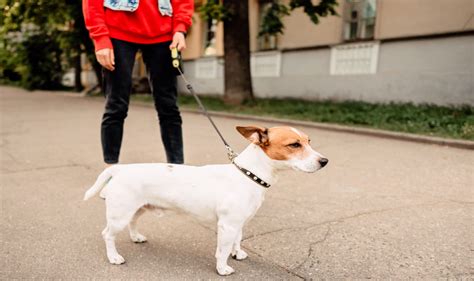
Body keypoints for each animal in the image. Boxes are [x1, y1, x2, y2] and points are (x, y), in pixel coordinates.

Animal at [83, 124, 328, 274]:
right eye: (294, 144)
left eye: (309, 141)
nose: (324, 161)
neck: (249, 174)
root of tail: (120, 168)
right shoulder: (227, 226)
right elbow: (222, 250)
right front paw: (222, 268)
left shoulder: (238, 224)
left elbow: (237, 240)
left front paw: (237, 253)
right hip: (119, 215)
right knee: (107, 235)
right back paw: (114, 257)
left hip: (137, 209)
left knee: (133, 222)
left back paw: (136, 237)